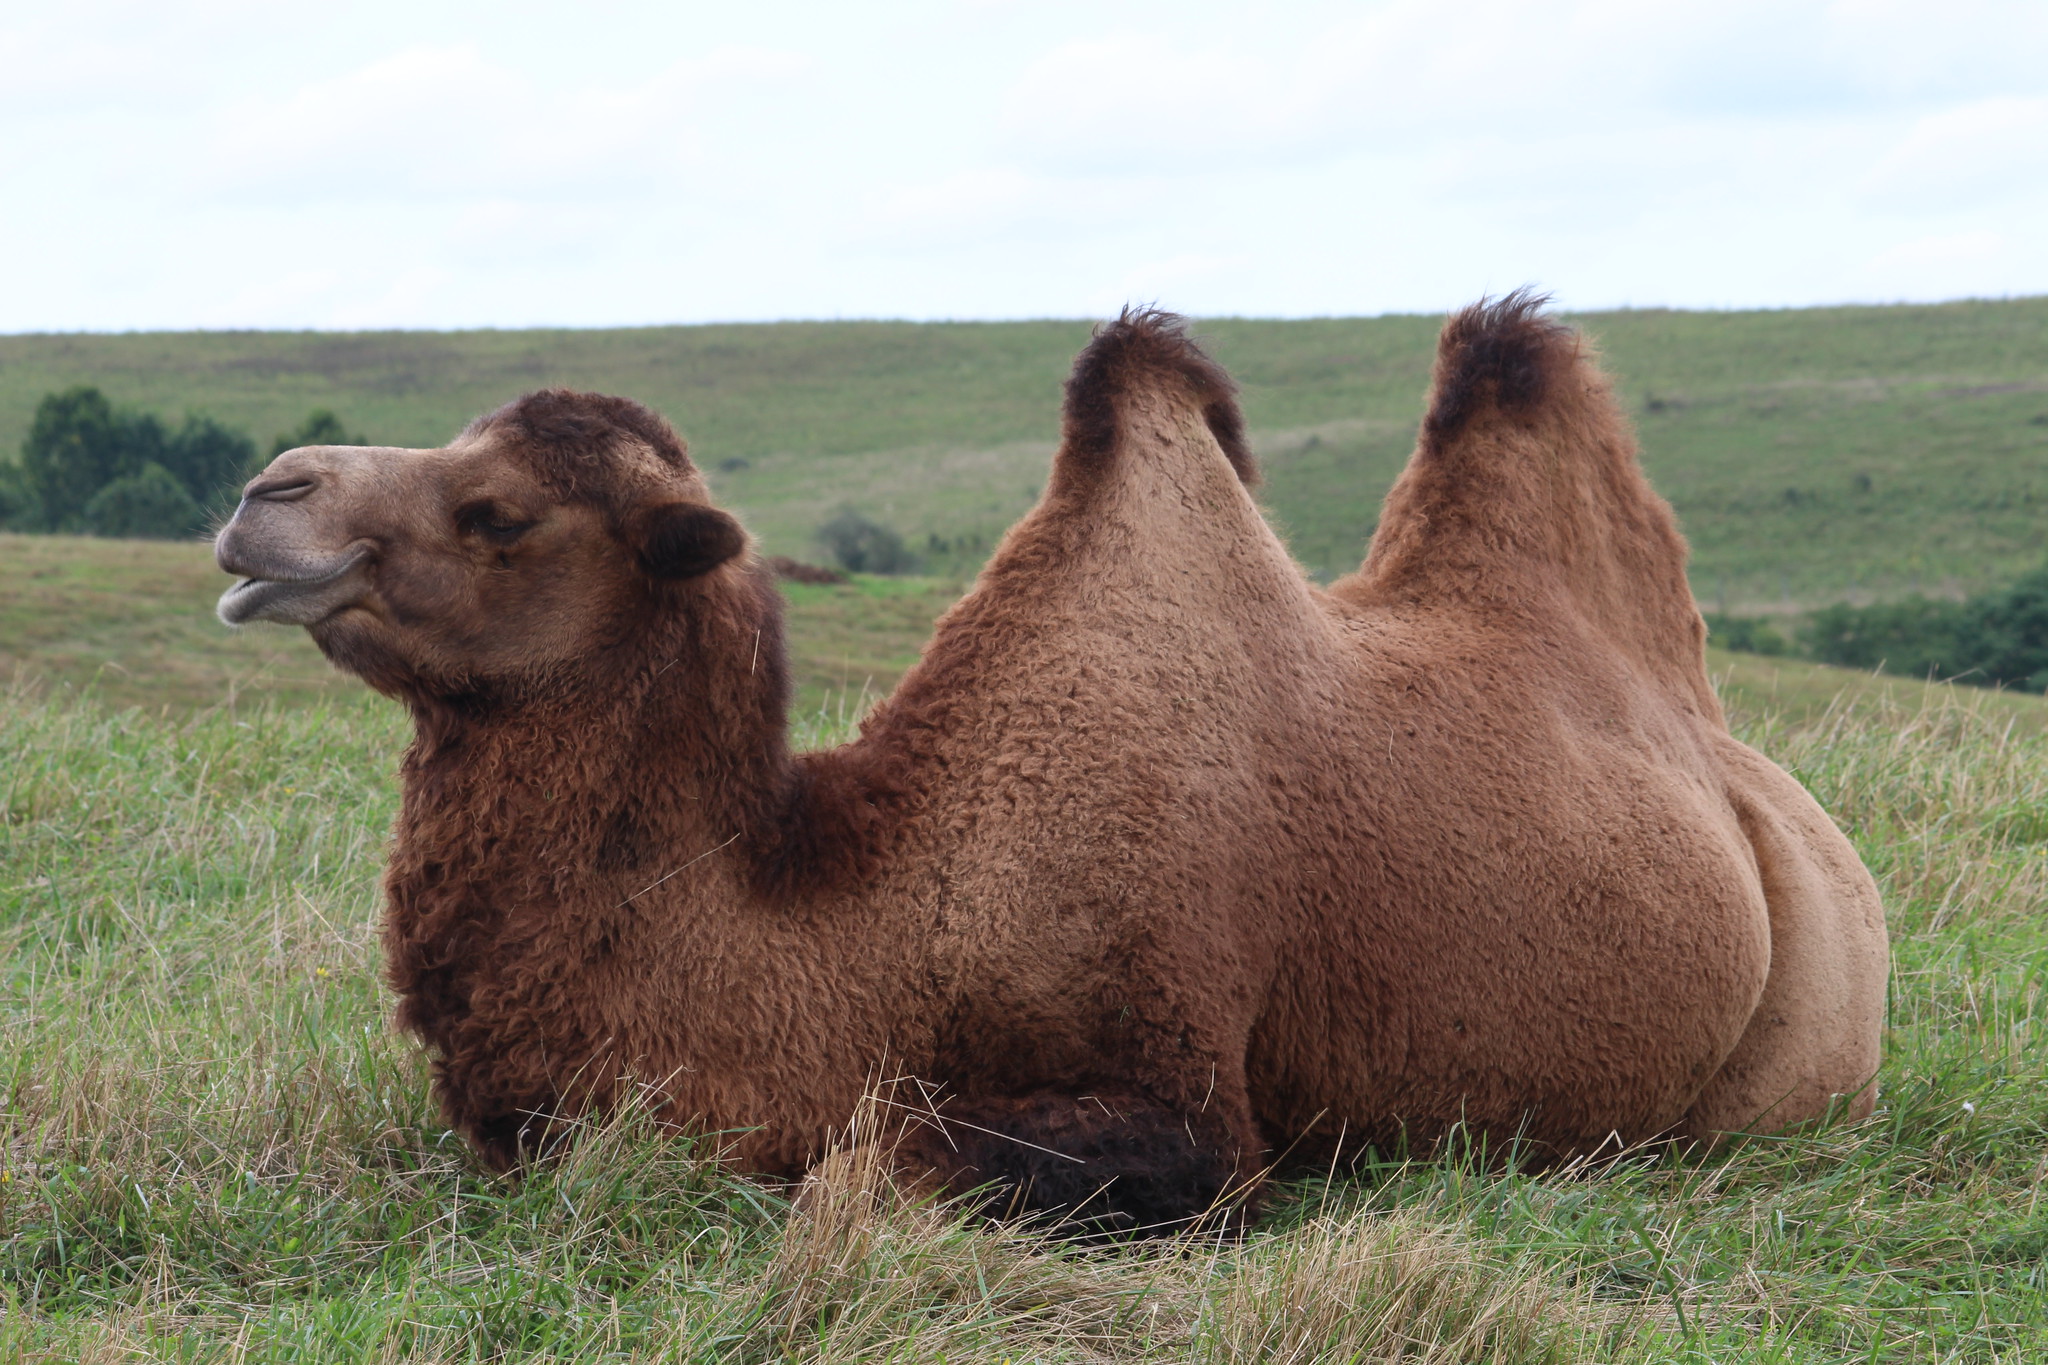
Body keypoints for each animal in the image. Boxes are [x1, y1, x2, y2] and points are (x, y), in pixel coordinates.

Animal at [214, 295, 1887, 1233]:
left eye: (499, 511)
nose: (261, 494)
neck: (863, 918)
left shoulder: (1189, 1097)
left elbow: (868, 1166)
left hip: (1805, 1052)